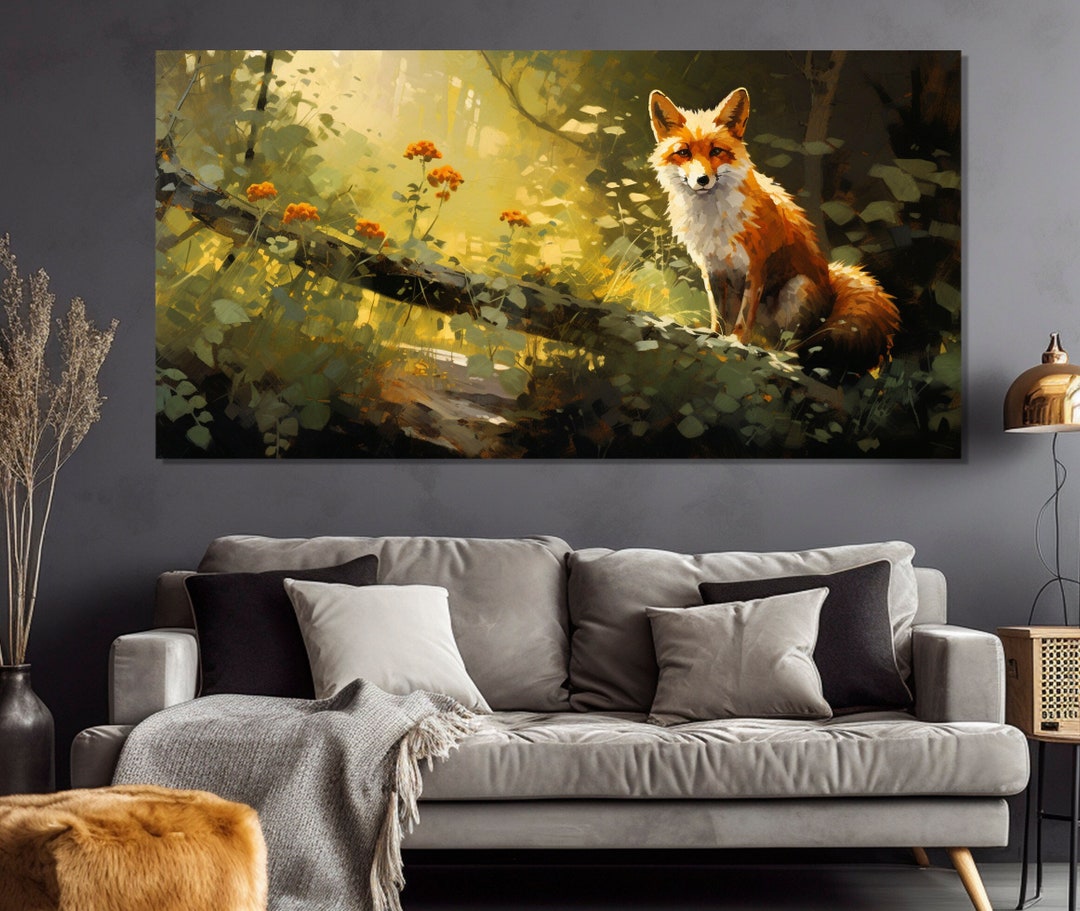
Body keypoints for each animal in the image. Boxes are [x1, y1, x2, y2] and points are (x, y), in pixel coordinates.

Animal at [648, 87, 900, 375]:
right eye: (684, 153)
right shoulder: (712, 268)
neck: (714, 217)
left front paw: (736, 341)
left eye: (716, 151)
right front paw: (714, 335)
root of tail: (830, 289)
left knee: (794, 347)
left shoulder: (756, 266)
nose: (702, 180)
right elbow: (718, 313)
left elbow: (744, 317)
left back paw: (778, 356)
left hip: (798, 289)